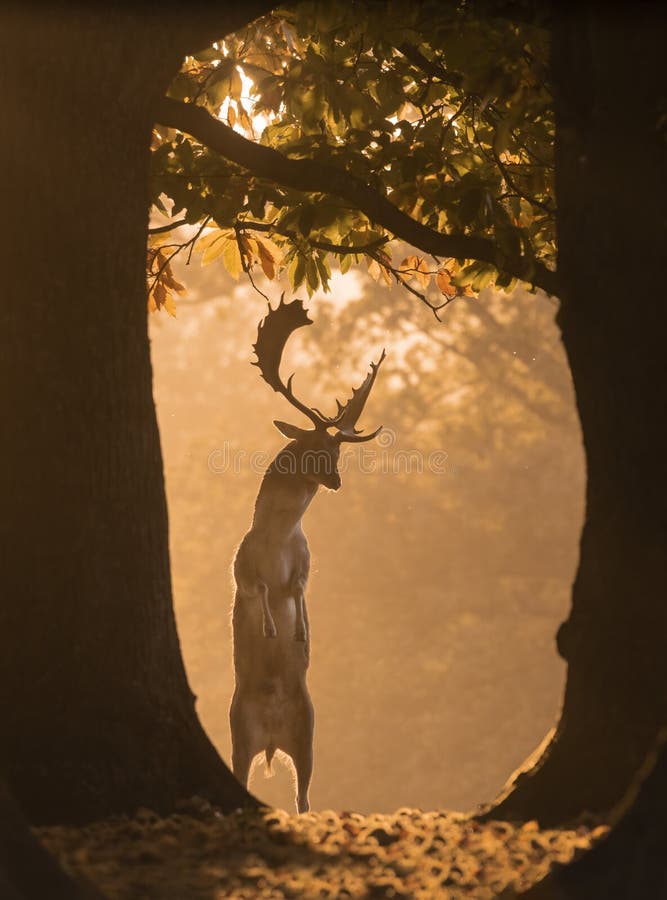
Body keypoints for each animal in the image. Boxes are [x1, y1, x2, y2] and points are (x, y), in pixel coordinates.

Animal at [229, 296, 385, 814]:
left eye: (338, 451)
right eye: (312, 445)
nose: (336, 480)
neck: (278, 538)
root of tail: (272, 741)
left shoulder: (306, 562)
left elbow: (297, 589)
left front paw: (299, 632)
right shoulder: (239, 564)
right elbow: (257, 585)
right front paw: (269, 628)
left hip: (309, 733)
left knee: (303, 797)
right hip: (237, 732)